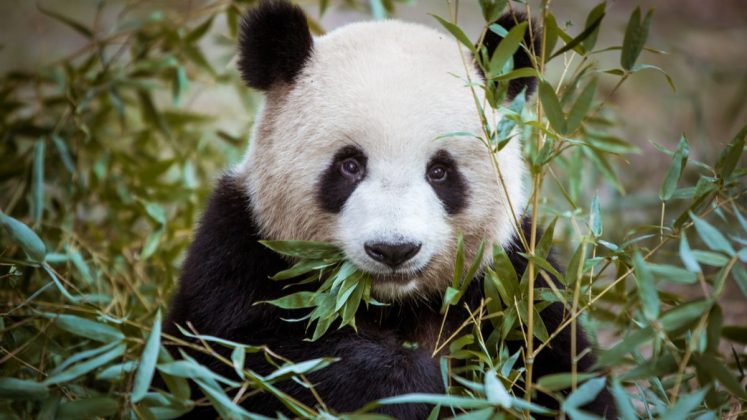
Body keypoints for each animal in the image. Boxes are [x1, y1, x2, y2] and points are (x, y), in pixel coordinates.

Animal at [164, 0, 616, 418]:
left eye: (440, 171)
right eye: (349, 165)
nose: (394, 249)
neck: (393, 302)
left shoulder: (517, 281)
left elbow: (567, 378)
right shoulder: (238, 254)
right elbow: (265, 357)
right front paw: (419, 385)